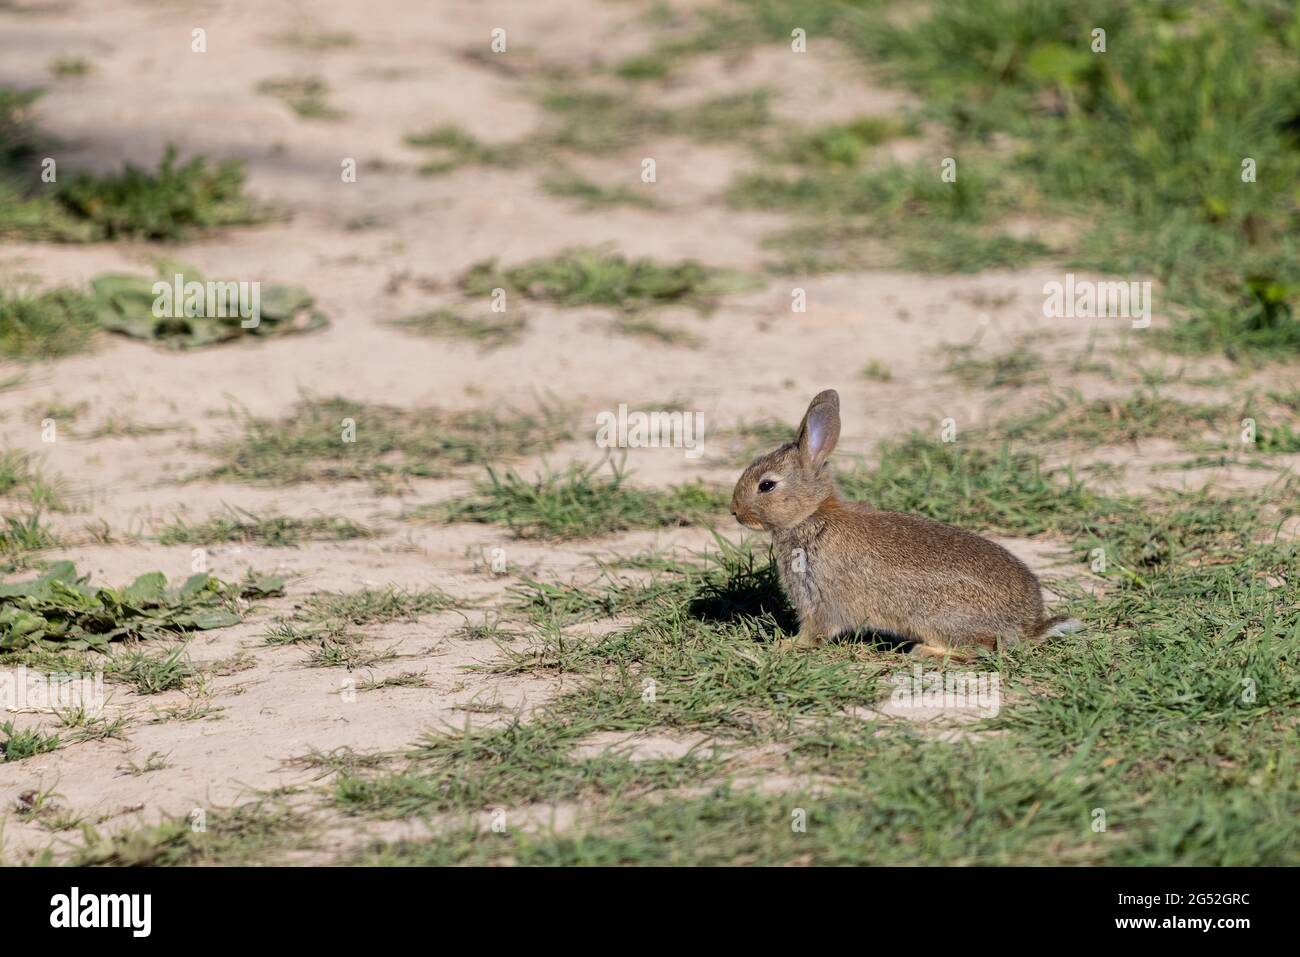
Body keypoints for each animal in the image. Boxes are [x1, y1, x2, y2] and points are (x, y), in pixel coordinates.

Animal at [730, 389, 1079, 657]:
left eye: (766, 485)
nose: (735, 512)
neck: (811, 516)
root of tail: (1028, 626)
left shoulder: (819, 598)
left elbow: (815, 632)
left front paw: (786, 646)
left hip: (938, 617)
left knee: (979, 648)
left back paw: (924, 652)